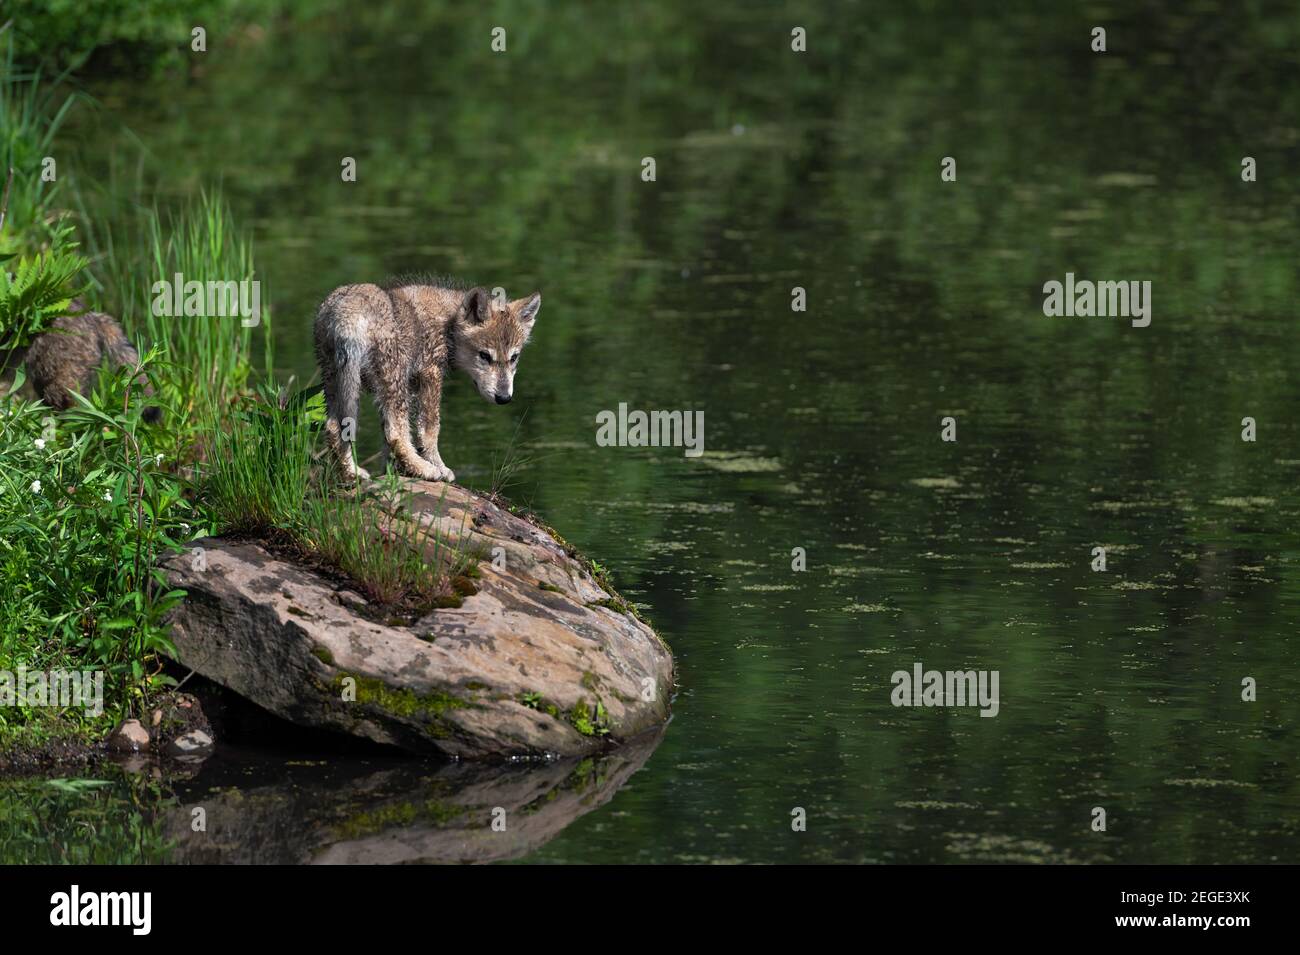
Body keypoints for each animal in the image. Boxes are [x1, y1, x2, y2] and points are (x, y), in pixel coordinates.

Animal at [313, 279, 541, 483]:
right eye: (484, 356)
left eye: (514, 358)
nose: (504, 398)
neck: (448, 325)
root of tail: (347, 312)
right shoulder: (431, 374)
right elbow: (429, 430)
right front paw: (438, 468)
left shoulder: (412, 386)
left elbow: (389, 443)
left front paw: (395, 471)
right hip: (393, 382)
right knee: (395, 433)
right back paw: (426, 470)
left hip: (339, 384)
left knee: (334, 428)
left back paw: (351, 474)